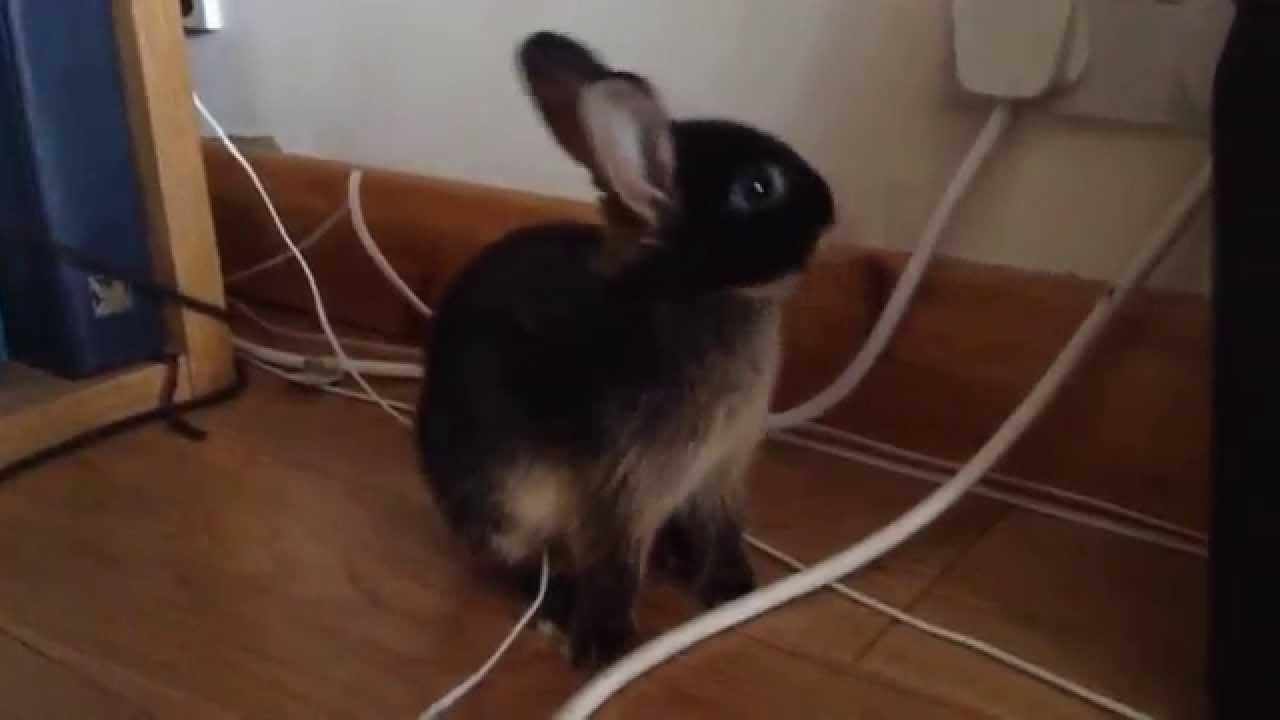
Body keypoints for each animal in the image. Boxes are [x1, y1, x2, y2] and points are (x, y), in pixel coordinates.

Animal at [417, 30, 835, 668]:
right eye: (758, 188)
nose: (830, 204)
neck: (697, 295)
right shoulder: (626, 486)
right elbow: (615, 567)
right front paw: (606, 645)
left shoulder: (719, 472)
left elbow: (723, 530)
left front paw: (734, 589)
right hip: (508, 497)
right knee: (516, 559)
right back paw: (559, 606)